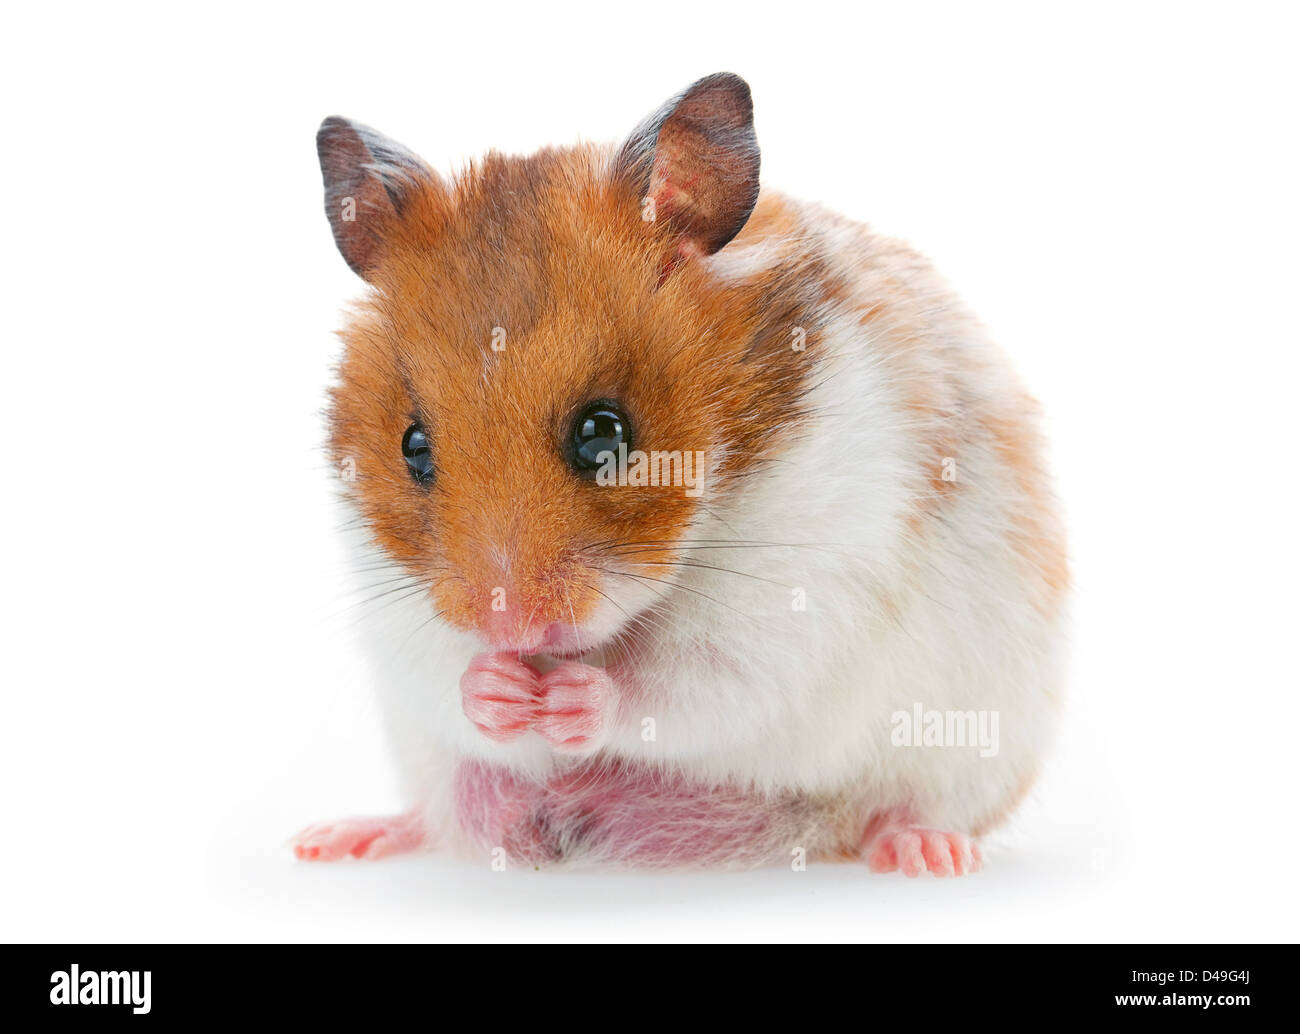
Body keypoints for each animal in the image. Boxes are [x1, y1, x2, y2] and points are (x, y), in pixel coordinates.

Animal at [293, 72, 1067, 875]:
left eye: (604, 434)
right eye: (413, 447)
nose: (511, 625)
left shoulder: (798, 597)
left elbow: (677, 684)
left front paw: (566, 698)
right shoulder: (398, 609)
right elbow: (449, 676)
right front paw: (501, 688)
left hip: (978, 744)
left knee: (894, 812)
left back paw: (927, 853)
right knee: (437, 812)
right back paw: (337, 839)